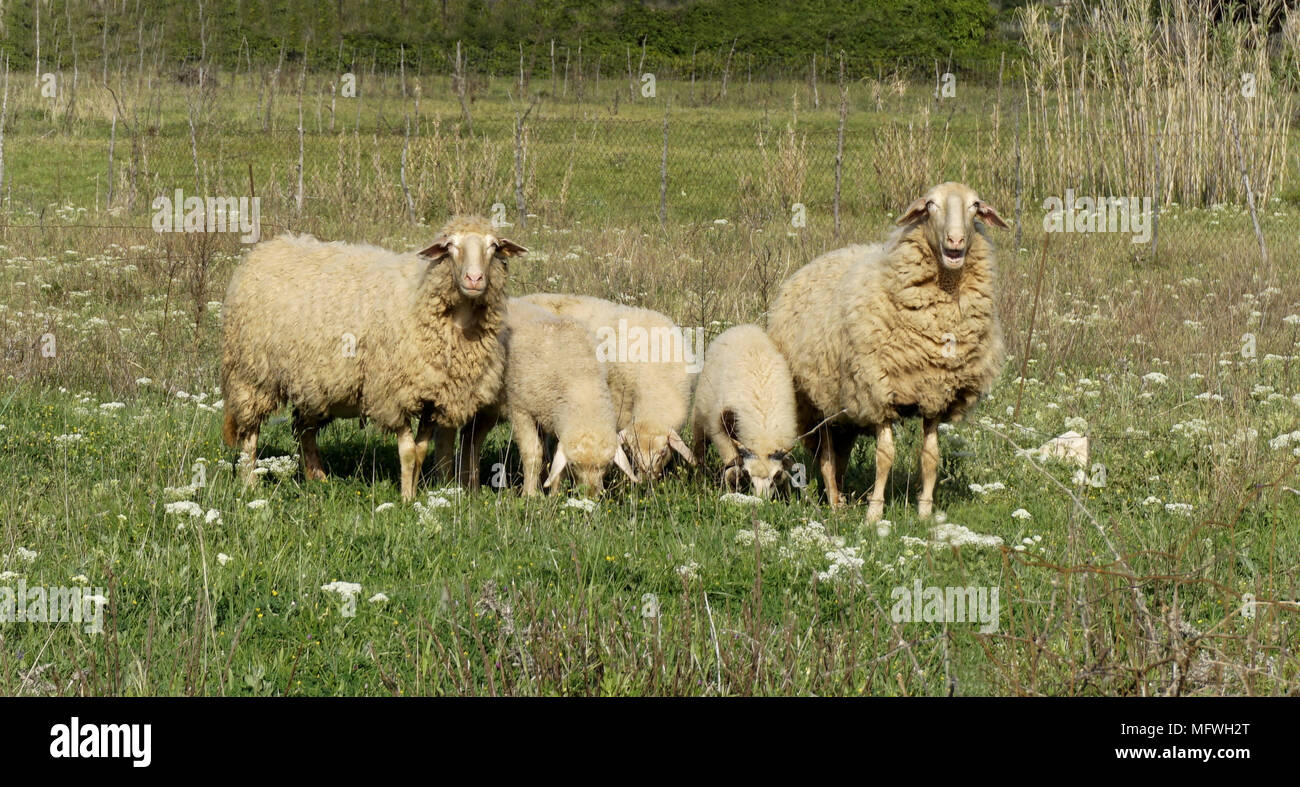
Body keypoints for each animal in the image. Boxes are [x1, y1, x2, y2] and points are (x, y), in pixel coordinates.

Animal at [220, 215, 526, 501]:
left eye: (493, 246)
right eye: (450, 246)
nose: (474, 279)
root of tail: (267, 248)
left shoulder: (432, 396)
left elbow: (420, 451)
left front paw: (413, 491)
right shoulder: (391, 394)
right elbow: (407, 451)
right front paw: (406, 499)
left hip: (312, 383)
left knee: (303, 429)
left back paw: (317, 477)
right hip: (252, 374)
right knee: (250, 433)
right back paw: (250, 483)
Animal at [454, 298, 639, 495]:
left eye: (606, 466)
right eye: (574, 465)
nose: (590, 495)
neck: (579, 377)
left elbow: (553, 461)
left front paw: (554, 494)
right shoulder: (520, 410)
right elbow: (533, 453)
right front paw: (530, 494)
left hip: (489, 411)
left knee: (470, 437)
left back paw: (470, 487)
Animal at [690, 325, 798, 499]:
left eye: (775, 476)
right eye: (748, 475)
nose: (763, 501)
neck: (763, 431)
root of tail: (743, 327)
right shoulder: (721, 432)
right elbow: (731, 469)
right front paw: (731, 492)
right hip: (699, 416)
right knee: (700, 448)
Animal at [767, 182, 1007, 520]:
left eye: (975, 206)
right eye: (930, 205)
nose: (956, 240)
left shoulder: (935, 395)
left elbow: (930, 457)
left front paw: (924, 512)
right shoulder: (877, 392)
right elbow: (885, 456)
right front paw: (874, 513)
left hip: (844, 413)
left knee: (840, 452)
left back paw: (842, 496)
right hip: (816, 400)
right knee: (826, 456)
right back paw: (834, 502)